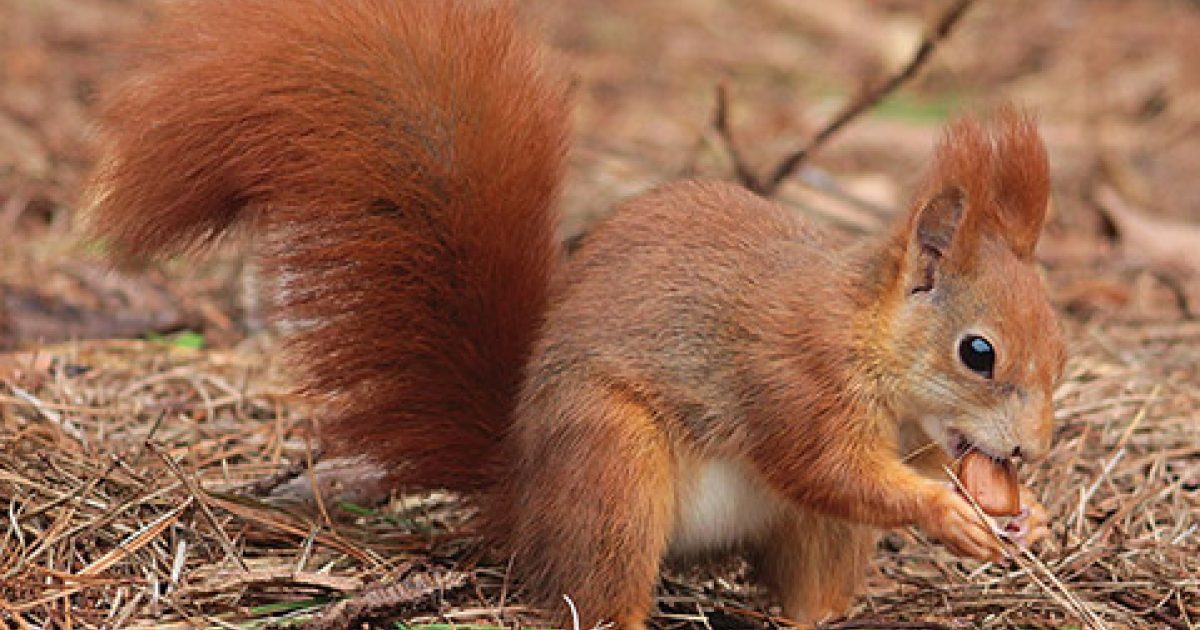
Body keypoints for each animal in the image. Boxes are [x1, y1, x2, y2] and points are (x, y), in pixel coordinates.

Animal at [85, 0, 1066, 627]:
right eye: (978, 353)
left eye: (1061, 352)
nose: (1030, 454)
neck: (867, 337)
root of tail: (522, 493)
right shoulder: (795, 378)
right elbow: (830, 467)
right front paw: (947, 513)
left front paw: (1032, 519)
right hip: (609, 465)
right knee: (603, 592)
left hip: (783, 529)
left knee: (810, 581)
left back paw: (819, 619)